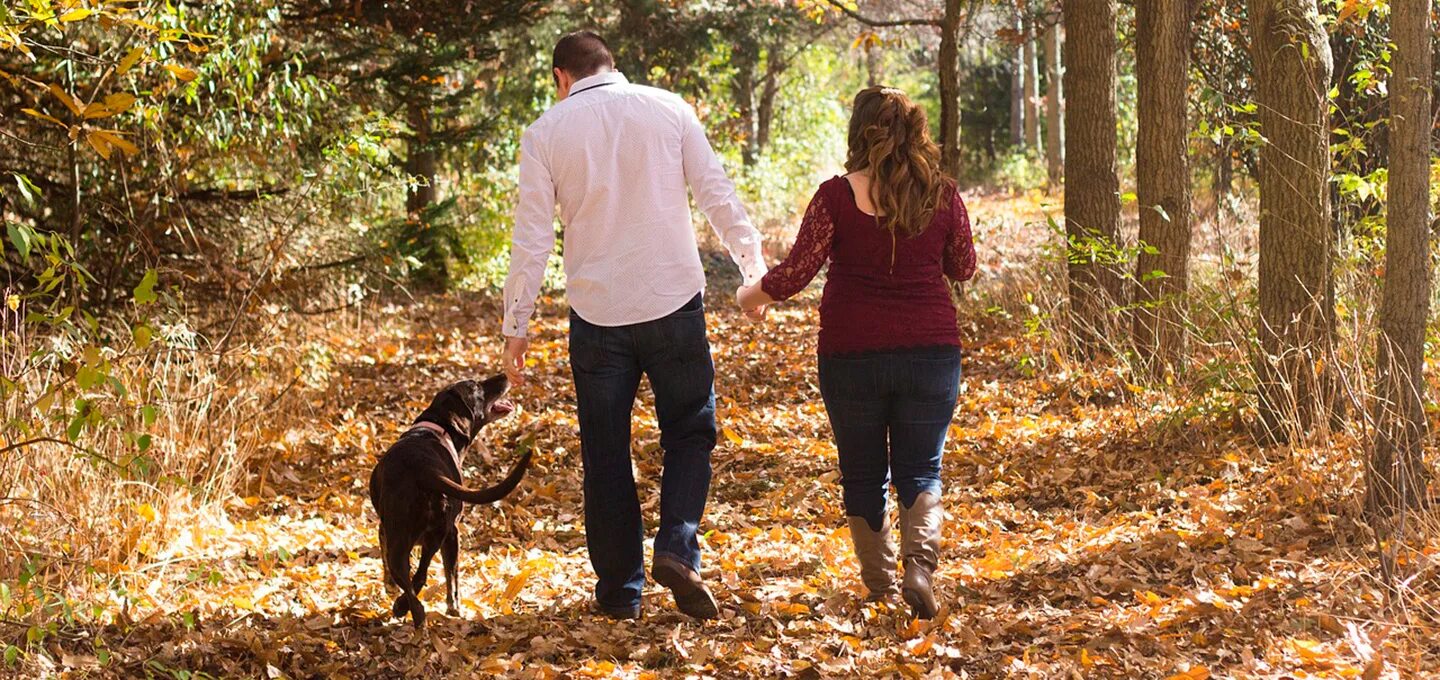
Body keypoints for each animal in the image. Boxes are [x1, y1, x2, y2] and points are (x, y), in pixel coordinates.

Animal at [368, 374, 532, 628]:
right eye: (477, 386)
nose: (504, 375)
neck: (436, 427)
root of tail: (425, 470)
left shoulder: (384, 531)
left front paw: (390, 589)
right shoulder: (451, 533)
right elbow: (451, 574)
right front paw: (453, 608)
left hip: (405, 537)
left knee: (410, 577)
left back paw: (406, 611)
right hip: (439, 534)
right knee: (420, 575)